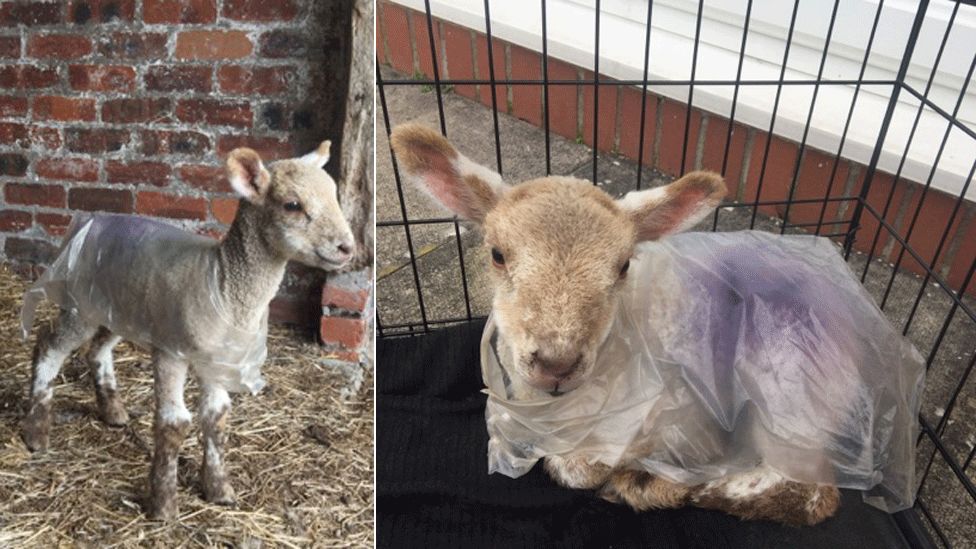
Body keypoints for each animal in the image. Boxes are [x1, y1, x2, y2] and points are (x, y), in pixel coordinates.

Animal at [20, 142, 356, 520]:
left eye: (334, 194)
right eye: (293, 205)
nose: (347, 247)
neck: (222, 281)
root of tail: (89, 220)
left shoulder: (217, 361)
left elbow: (217, 418)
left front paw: (220, 490)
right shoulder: (171, 350)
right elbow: (174, 424)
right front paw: (164, 505)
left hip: (123, 307)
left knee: (98, 349)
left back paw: (113, 411)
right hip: (81, 305)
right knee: (48, 345)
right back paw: (36, 431)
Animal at [389, 123, 842, 526]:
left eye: (624, 266)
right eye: (497, 255)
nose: (557, 363)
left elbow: (575, 468)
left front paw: (631, 475)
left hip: (783, 393)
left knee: (815, 494)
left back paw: (653, 485)